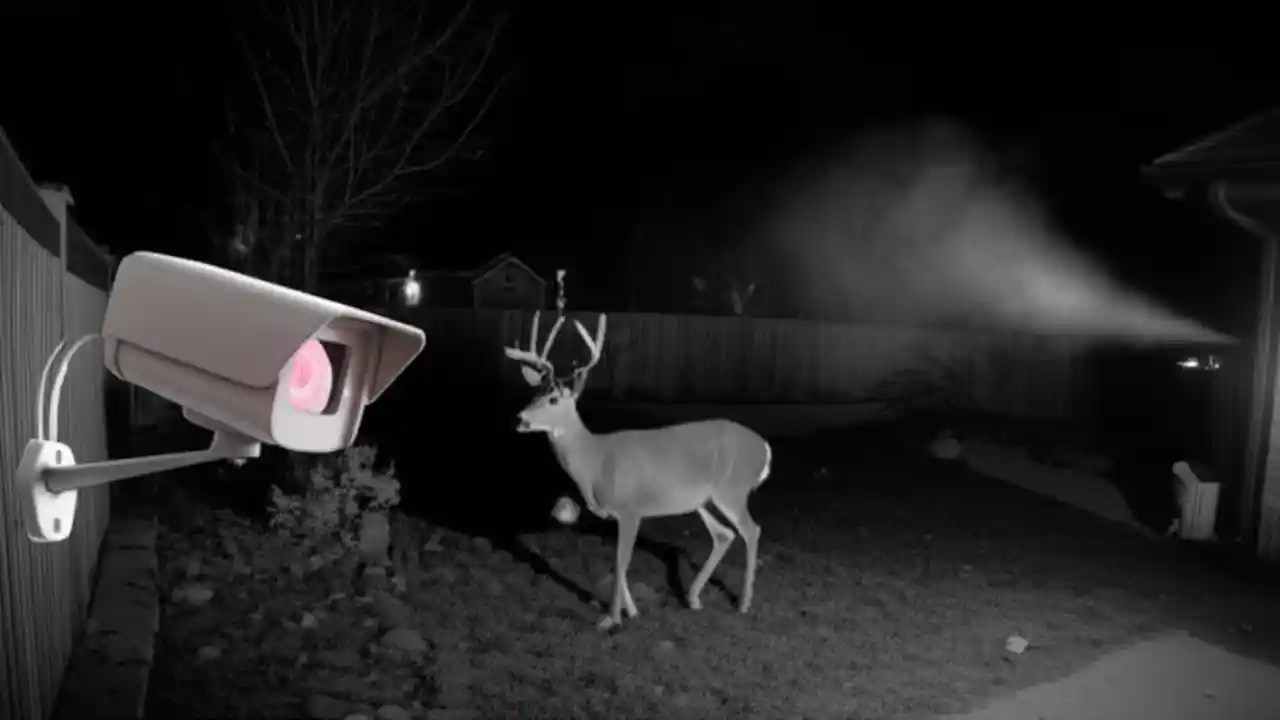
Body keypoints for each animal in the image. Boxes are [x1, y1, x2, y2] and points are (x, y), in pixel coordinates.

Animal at [503, 310, 773, 630]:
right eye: (535, 393)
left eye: (553, 399)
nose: (520, 417)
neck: (594, 461)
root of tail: (765, 448)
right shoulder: (615, 515)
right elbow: (619, 563)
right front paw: (632, 613)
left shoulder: (631, 509)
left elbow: (621, 562)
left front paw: (611, 618)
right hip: (702, 500)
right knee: (724, 535)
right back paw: (693, 598)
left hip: (733, 490)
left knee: (751, 530)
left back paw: (743, 603)